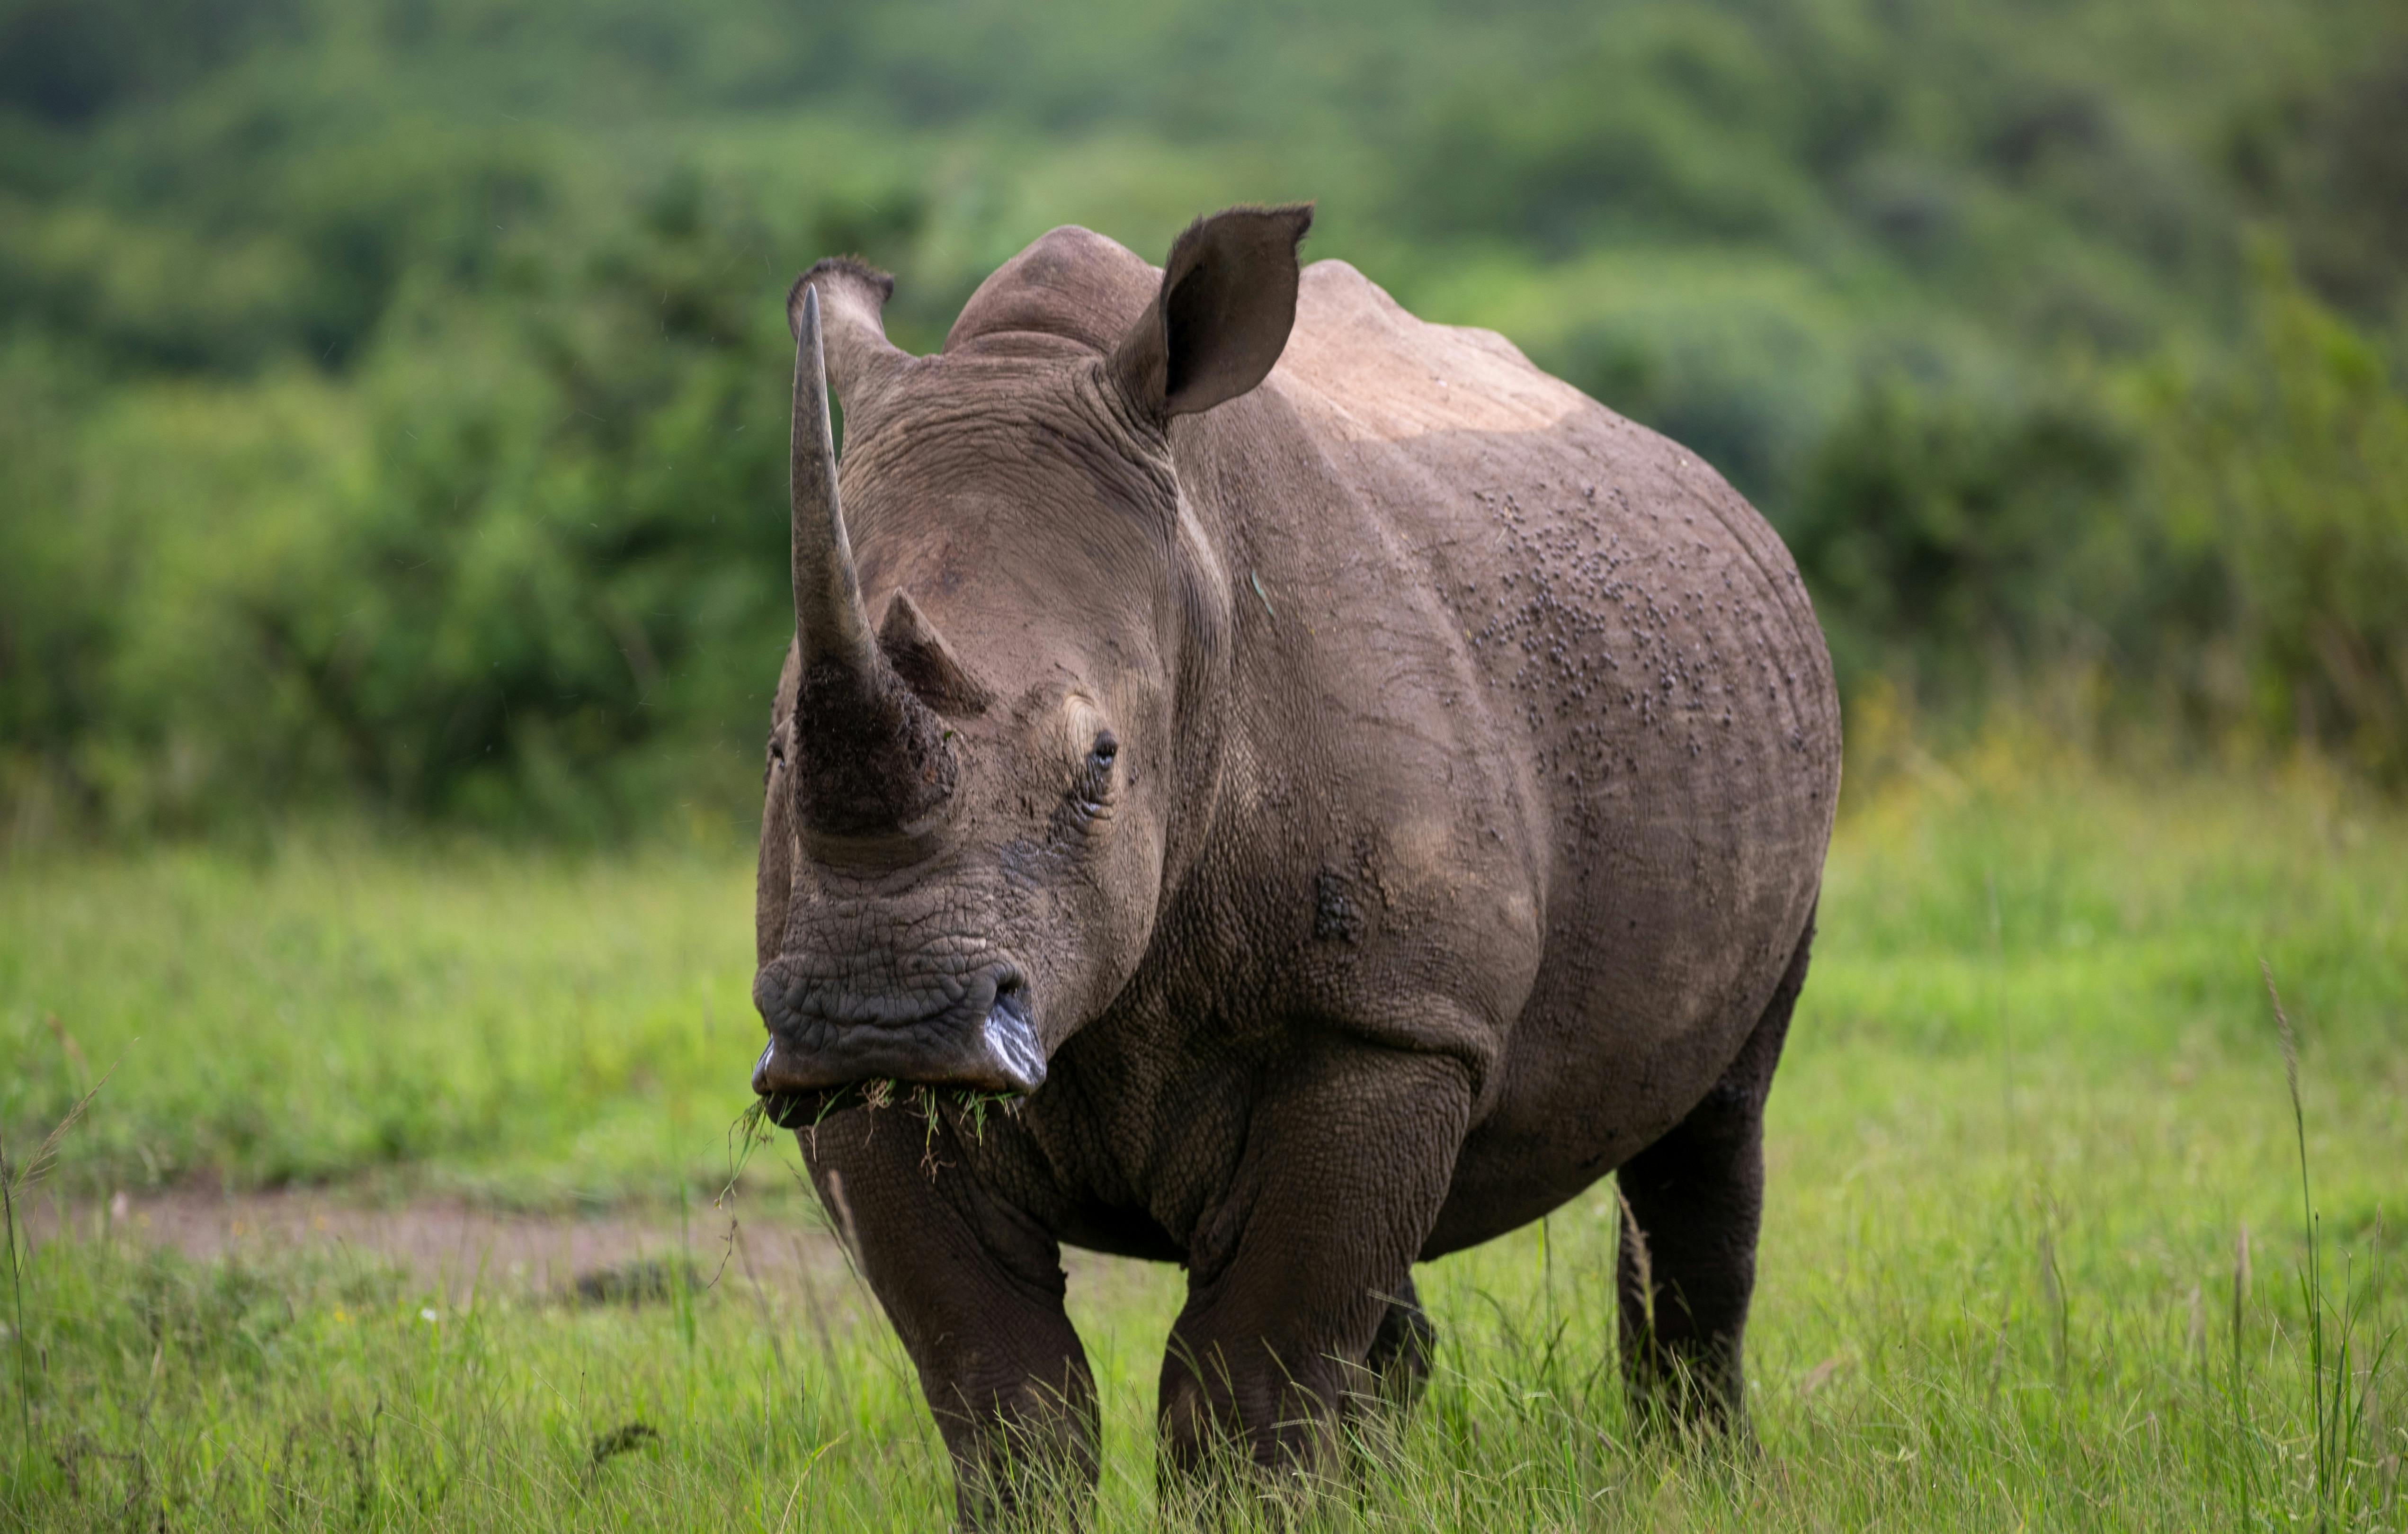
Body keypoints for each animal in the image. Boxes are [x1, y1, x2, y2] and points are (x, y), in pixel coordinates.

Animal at [751, 204, 1839, 1521]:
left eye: (1102, 762)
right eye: (776, 744)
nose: (882, 1017)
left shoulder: (1386, 1025)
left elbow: (1246, 1382)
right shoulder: (851, 1087)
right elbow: (1001, 1386)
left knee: (1712, 1125)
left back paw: (1697, 1472)